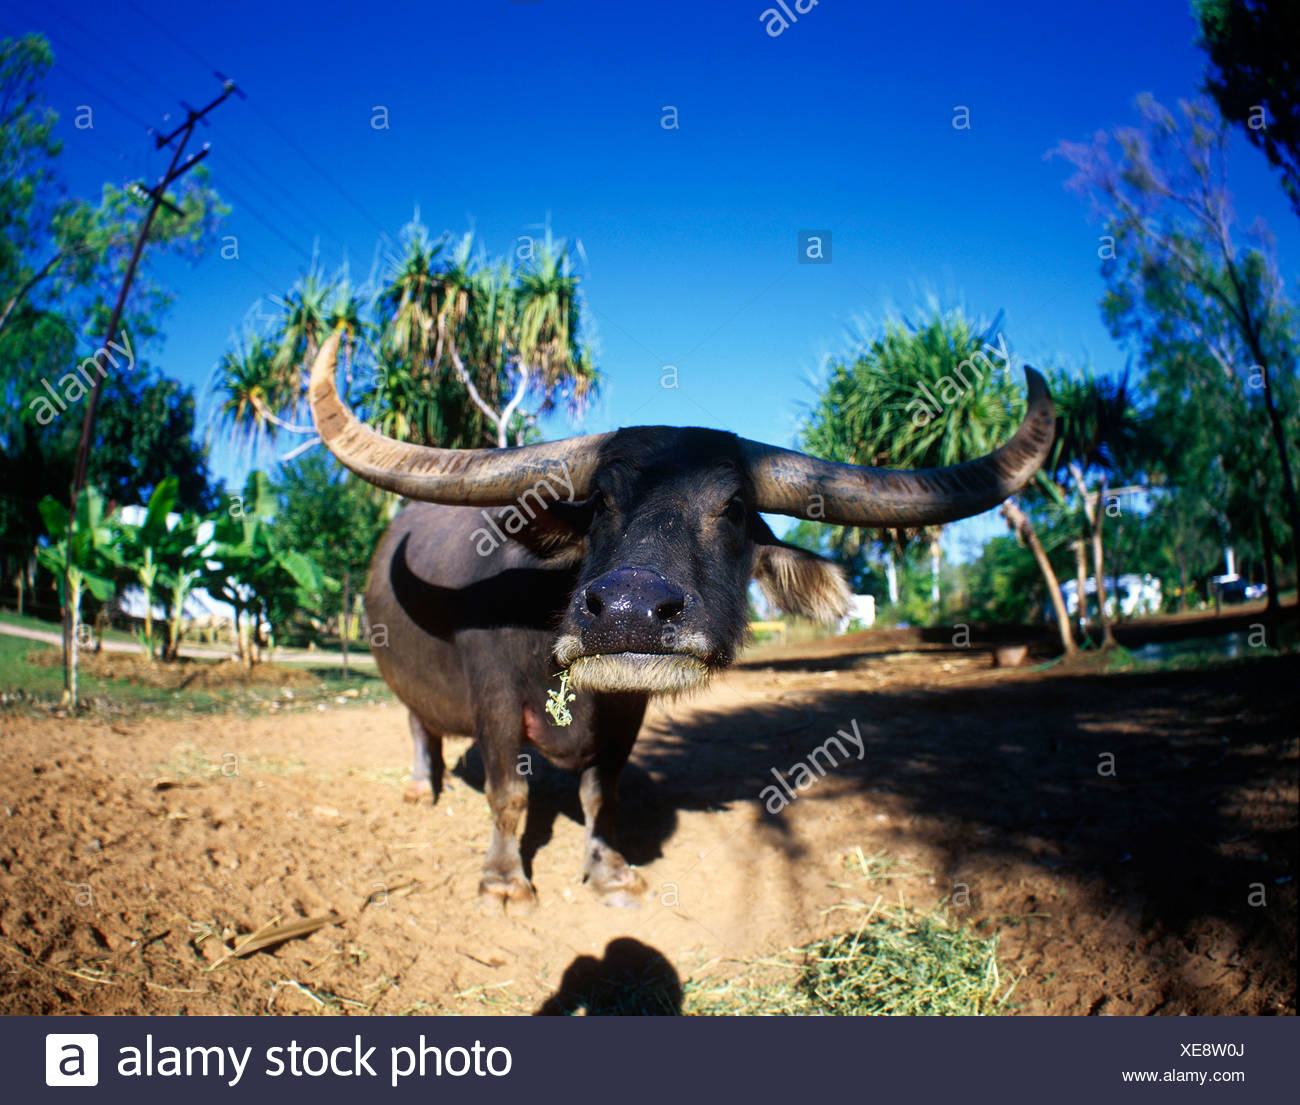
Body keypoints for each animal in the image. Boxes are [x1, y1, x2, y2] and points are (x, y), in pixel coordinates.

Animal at [308, 333, 1054, 907]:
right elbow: (507, 793)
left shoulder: (626, 713)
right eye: (599, 502)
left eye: (733, 509)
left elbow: (600, 794)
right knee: (418, 725)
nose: (630, 610)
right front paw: (503, 881)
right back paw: (418, 786)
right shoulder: (493, 701)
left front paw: (609, 872)